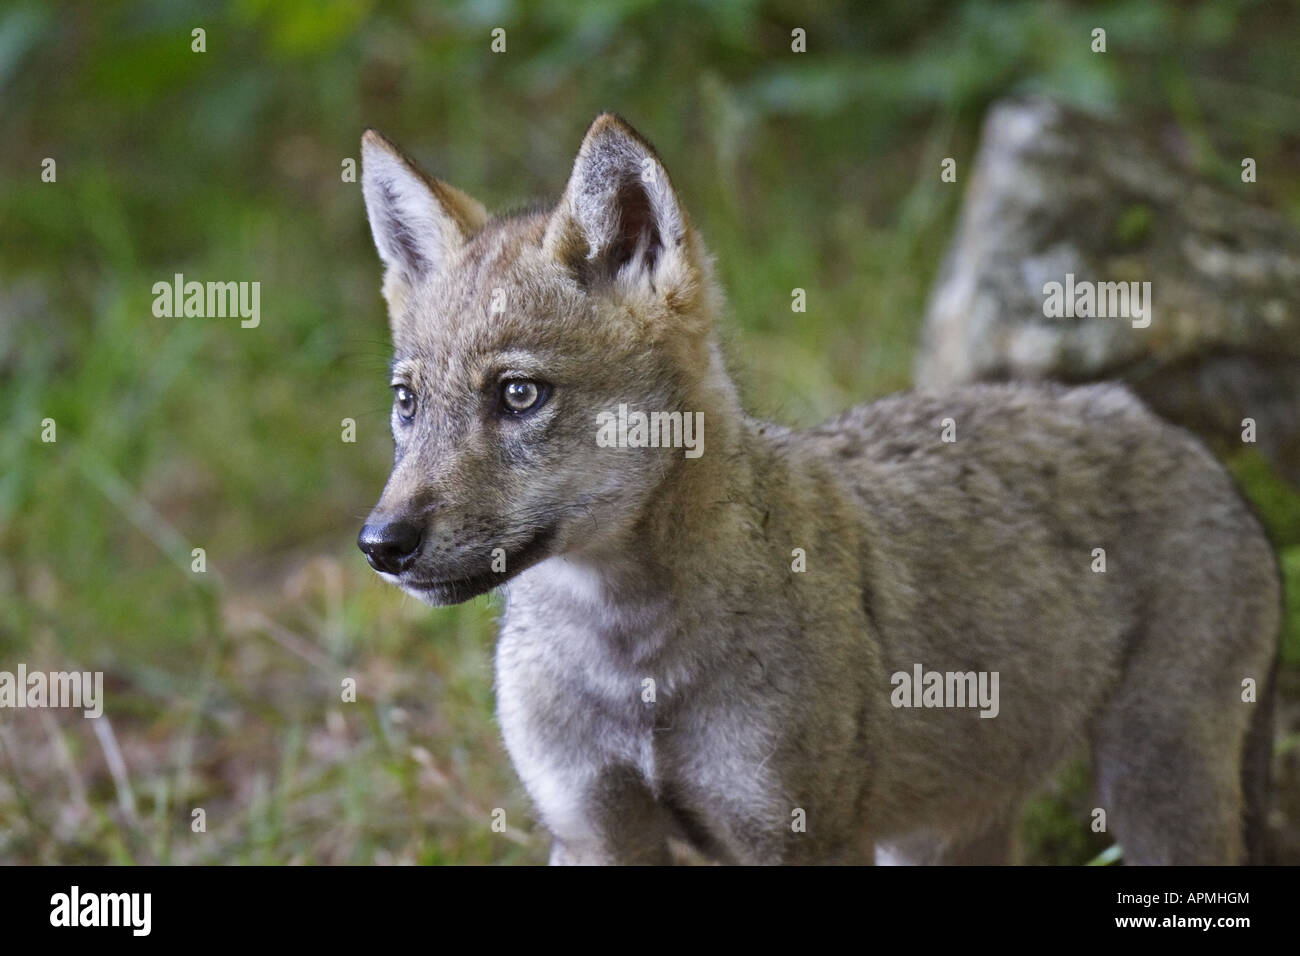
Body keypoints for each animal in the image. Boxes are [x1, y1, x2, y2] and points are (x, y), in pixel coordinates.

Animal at [356, 113, 1280, 865]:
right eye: (406, 403)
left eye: (519, 395)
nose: (380, 545)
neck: (632, 663)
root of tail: (1172, 431)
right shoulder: (593, 835)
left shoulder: (797, 840)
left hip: (1152, 795)